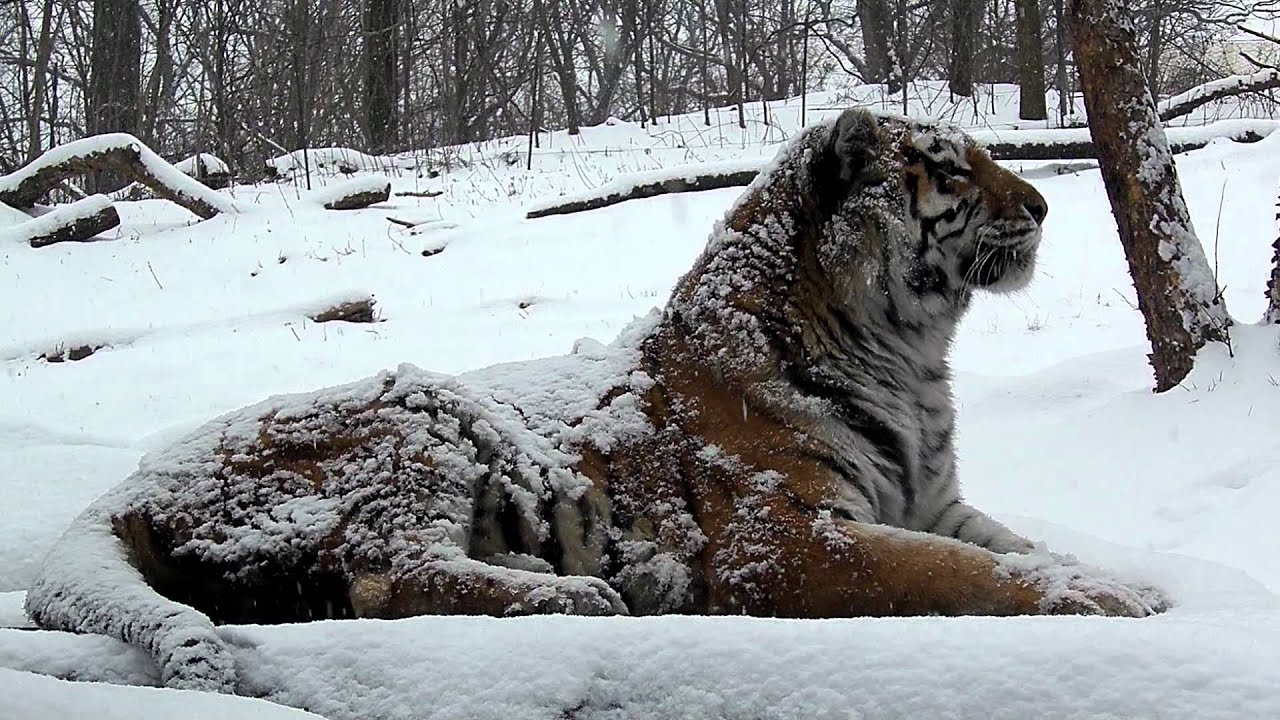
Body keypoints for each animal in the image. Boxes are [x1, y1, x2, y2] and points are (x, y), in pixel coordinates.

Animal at [25, 109, 1167, 694]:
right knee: (385, 577)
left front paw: (1120, 582)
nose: (1043, 202)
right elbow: (959, 572)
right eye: (948, 170)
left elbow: (1013, 545)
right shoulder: (781, 537)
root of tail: (134, 478)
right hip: (413, 419)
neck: (909, 357)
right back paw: (570, 593)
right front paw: (1107, 602)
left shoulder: (932, 498)